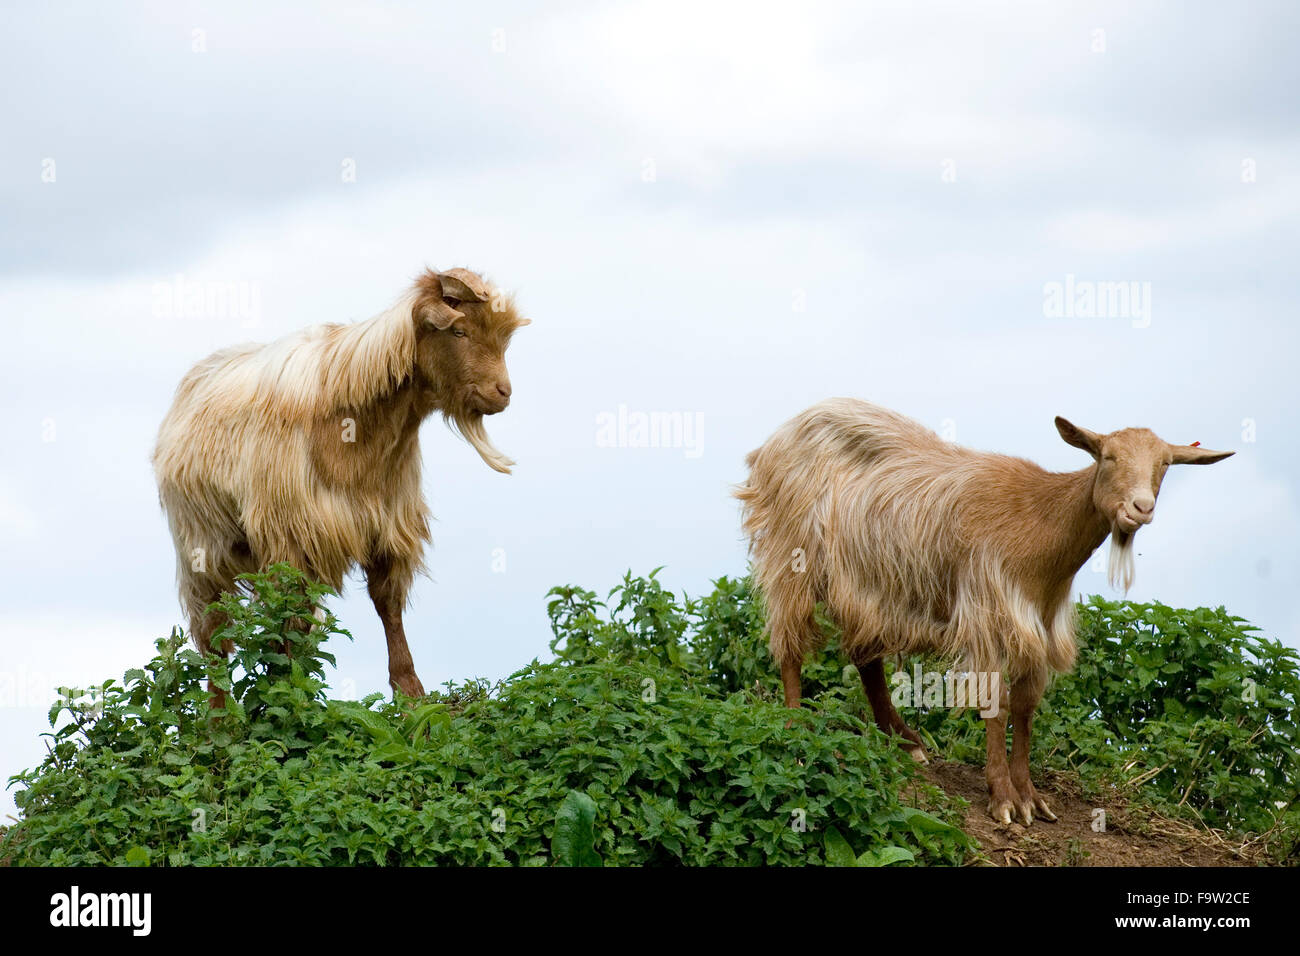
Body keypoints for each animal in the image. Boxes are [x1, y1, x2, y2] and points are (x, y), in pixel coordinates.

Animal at [153, 268, 530, 700]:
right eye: (459, 331)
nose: (502, 393)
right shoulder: (295, 534)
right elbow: (295, 616)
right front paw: (291, 690)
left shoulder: (386, 524)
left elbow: (387, 605)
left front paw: (410, 693)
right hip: (200, 544)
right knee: (213, 631)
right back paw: (219, 713)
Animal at [735, 398, 1232, 824]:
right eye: (1107, 457)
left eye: (1164, 463)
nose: (1140, 508)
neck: (1040, 519)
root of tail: (782, 434)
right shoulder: (988, 610)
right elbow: (997, 702)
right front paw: (1003, 799)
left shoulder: (1039, 623)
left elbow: (1026, 706)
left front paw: (1030, 796)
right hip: (792, 552)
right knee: (790, 643)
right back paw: (797, 727)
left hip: (867, 585)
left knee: (863, 655)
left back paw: (904, 741)